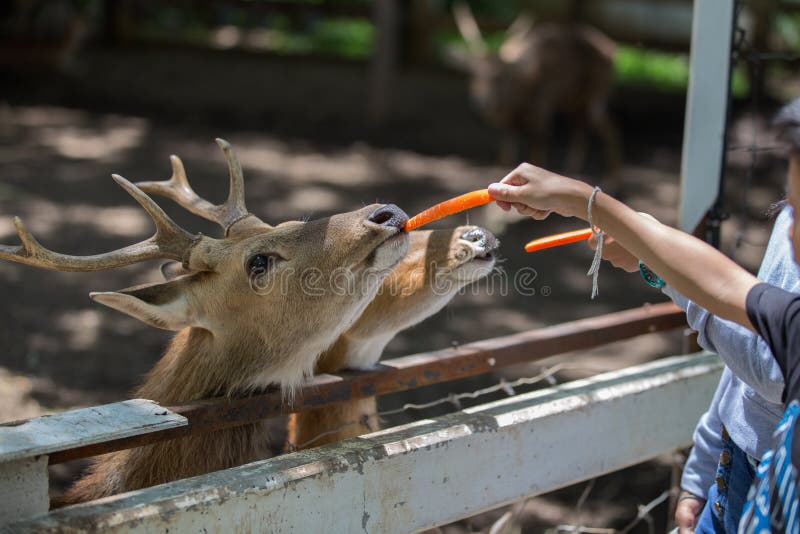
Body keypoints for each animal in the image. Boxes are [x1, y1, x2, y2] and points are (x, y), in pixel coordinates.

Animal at [450, 2, 620, 175]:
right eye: (472, 75)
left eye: (500, 77)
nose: (481, 103)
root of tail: (612, 49)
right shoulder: (510, 123)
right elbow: (507, 152)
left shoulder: (543, 106)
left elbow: (537, 150)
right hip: (574, 99)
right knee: (581, 127)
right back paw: (573, 169)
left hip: (597, 92)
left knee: (607, 127)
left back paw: (613, 177)